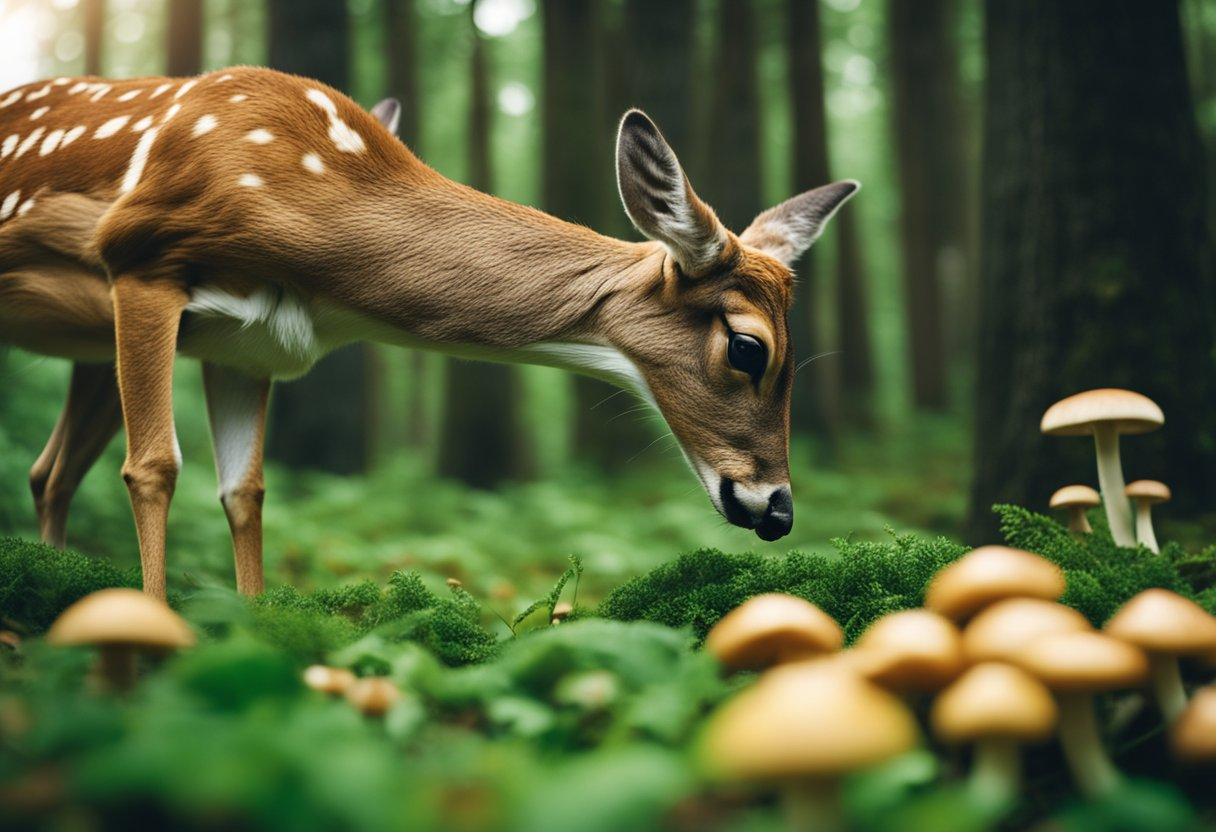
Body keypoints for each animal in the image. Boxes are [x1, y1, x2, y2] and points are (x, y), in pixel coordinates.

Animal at [0, 68, 858, 601]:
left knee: (49, 472)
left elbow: (245, 489)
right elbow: (154, 468)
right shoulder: (140, 262)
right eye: (748, 347)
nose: (777, 509)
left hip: (94, 348)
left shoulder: (245, 344)